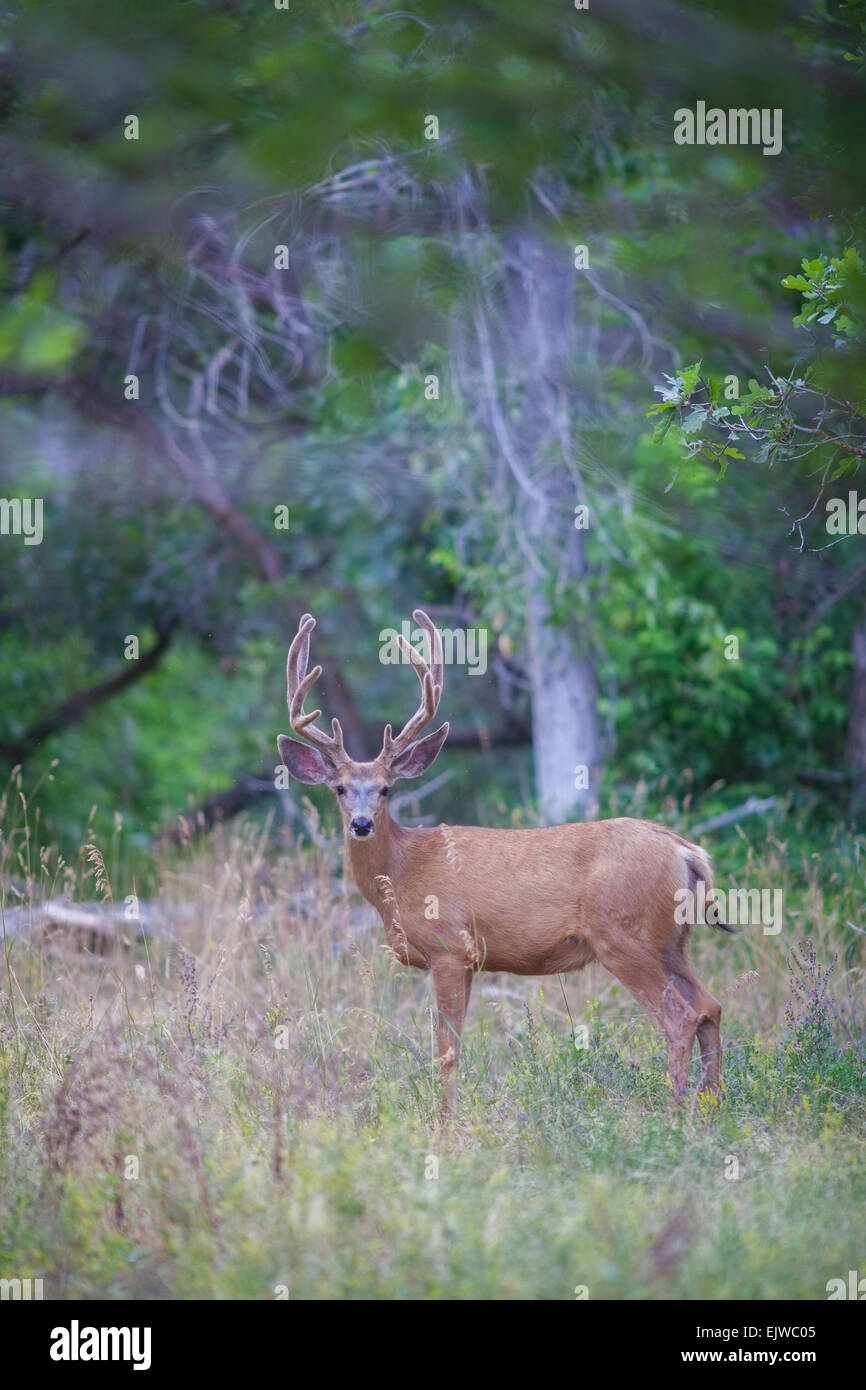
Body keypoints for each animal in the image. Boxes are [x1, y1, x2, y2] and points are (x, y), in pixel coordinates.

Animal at [277, 608, 730, 1116]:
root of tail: (686, 852)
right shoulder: (471, 961)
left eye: (386, 789)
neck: (402, 871)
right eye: (339, 789)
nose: (360, 824)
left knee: (679, 1017)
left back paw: (674, 1115)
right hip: (672, 942)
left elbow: (447, 1051)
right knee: (710, 1006)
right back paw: (711, 1108)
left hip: (623, 935)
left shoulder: (450, 947)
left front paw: (445, 1123)